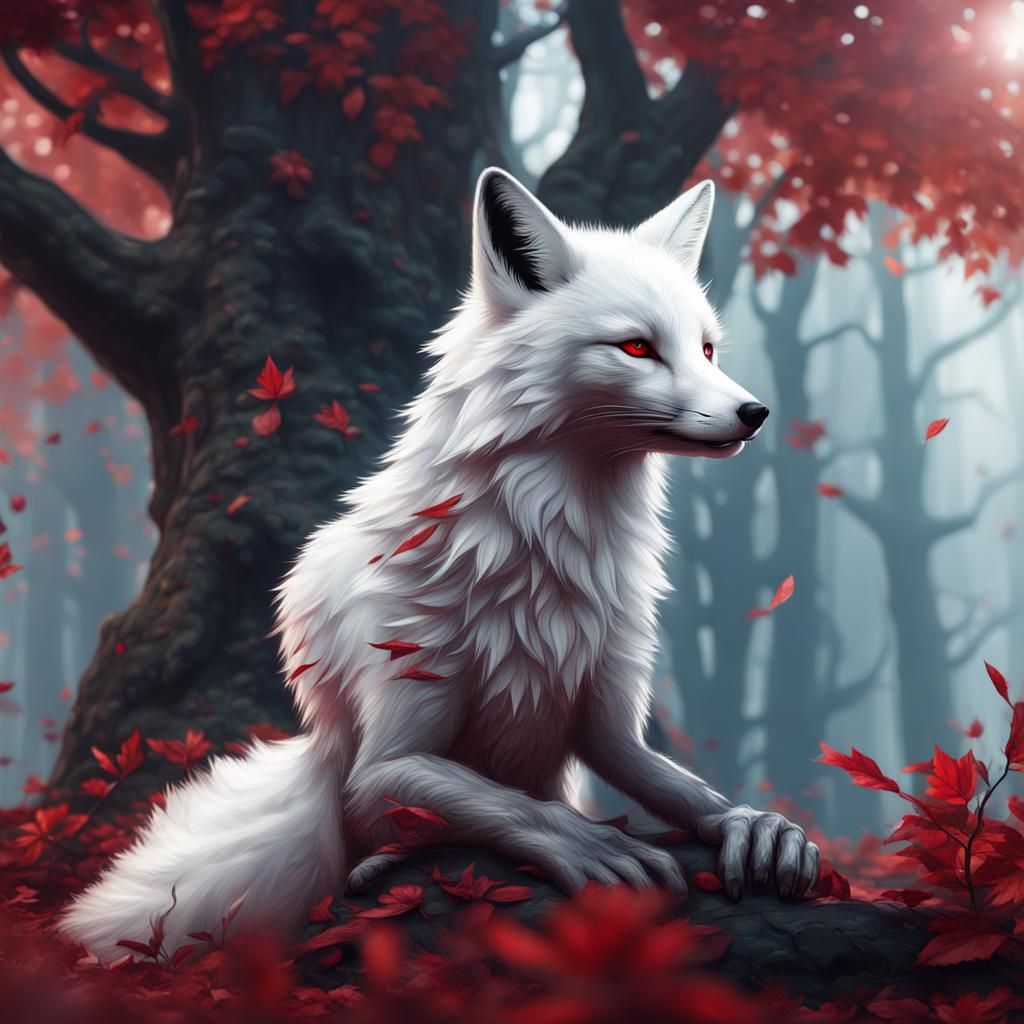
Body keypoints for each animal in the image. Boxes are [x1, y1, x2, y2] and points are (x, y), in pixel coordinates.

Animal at [61, 168, 819, 960]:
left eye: (706, 350)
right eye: (638, 348)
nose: (756, 413)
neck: (545, 547)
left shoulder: (605, 719)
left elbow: (679, 789)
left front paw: (752, 825)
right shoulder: (387, 758)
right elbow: (505, 804)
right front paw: (592, 847)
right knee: (376, 839)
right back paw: (382, 862)